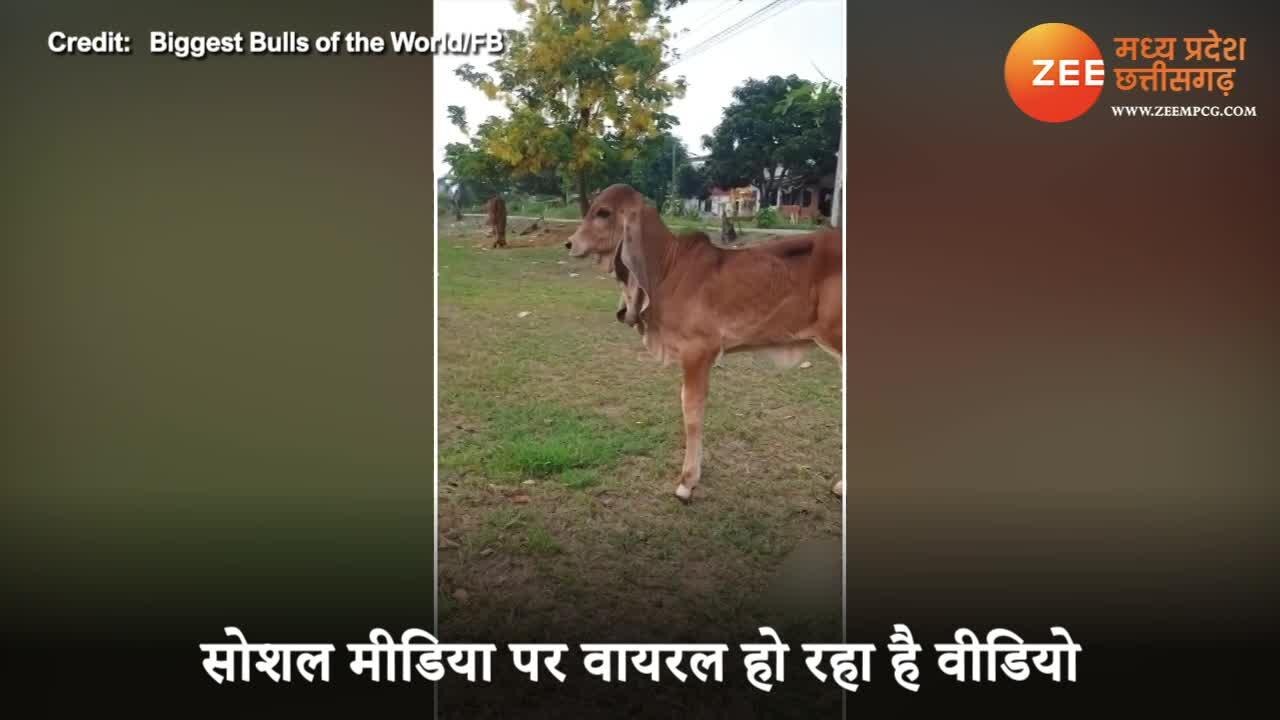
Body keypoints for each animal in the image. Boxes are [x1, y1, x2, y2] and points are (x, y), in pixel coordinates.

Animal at [565, 184, 843, 501]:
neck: (667, 268)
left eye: (604, 212)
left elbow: (692, 410)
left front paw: (687, 481)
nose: (569, 243)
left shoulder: (697, 351)